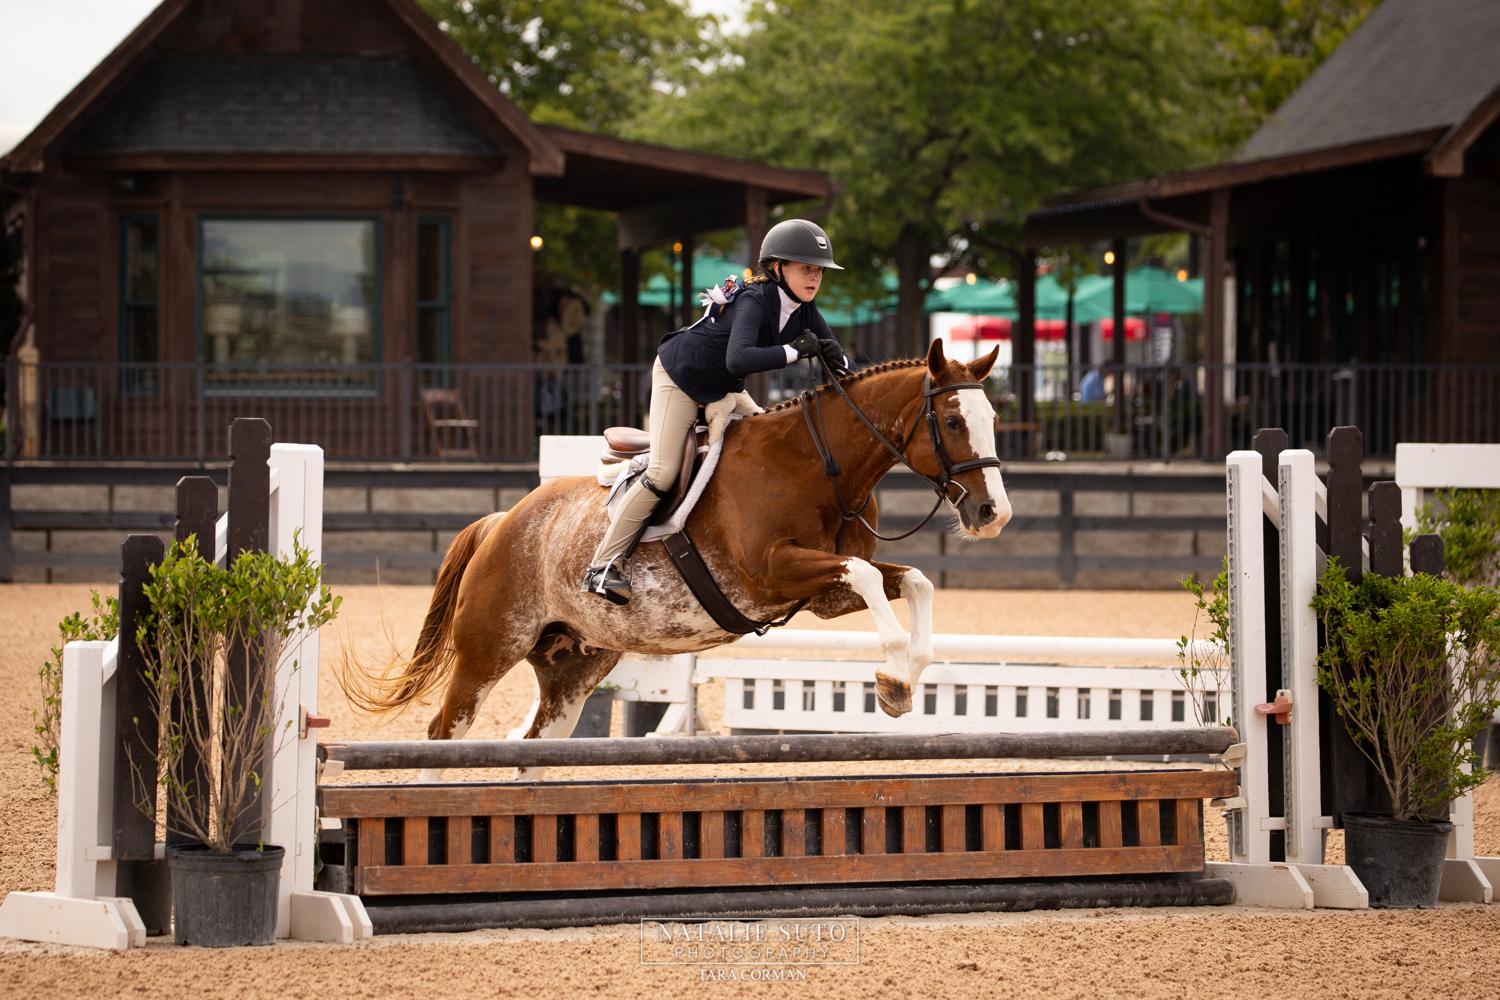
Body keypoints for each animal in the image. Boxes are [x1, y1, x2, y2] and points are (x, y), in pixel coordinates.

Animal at [340, 340, 1011, 769]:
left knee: (537, 742)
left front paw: (906, 676)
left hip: (571, 667)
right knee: (443, 732)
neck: (818, 466)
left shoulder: (819, 595)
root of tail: (504, 520)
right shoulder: (773, 574)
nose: (993, 513)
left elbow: (912, 580)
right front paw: (893, 676)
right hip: (489, 650)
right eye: (953, 421)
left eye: (993, 418)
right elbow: (870, 577)